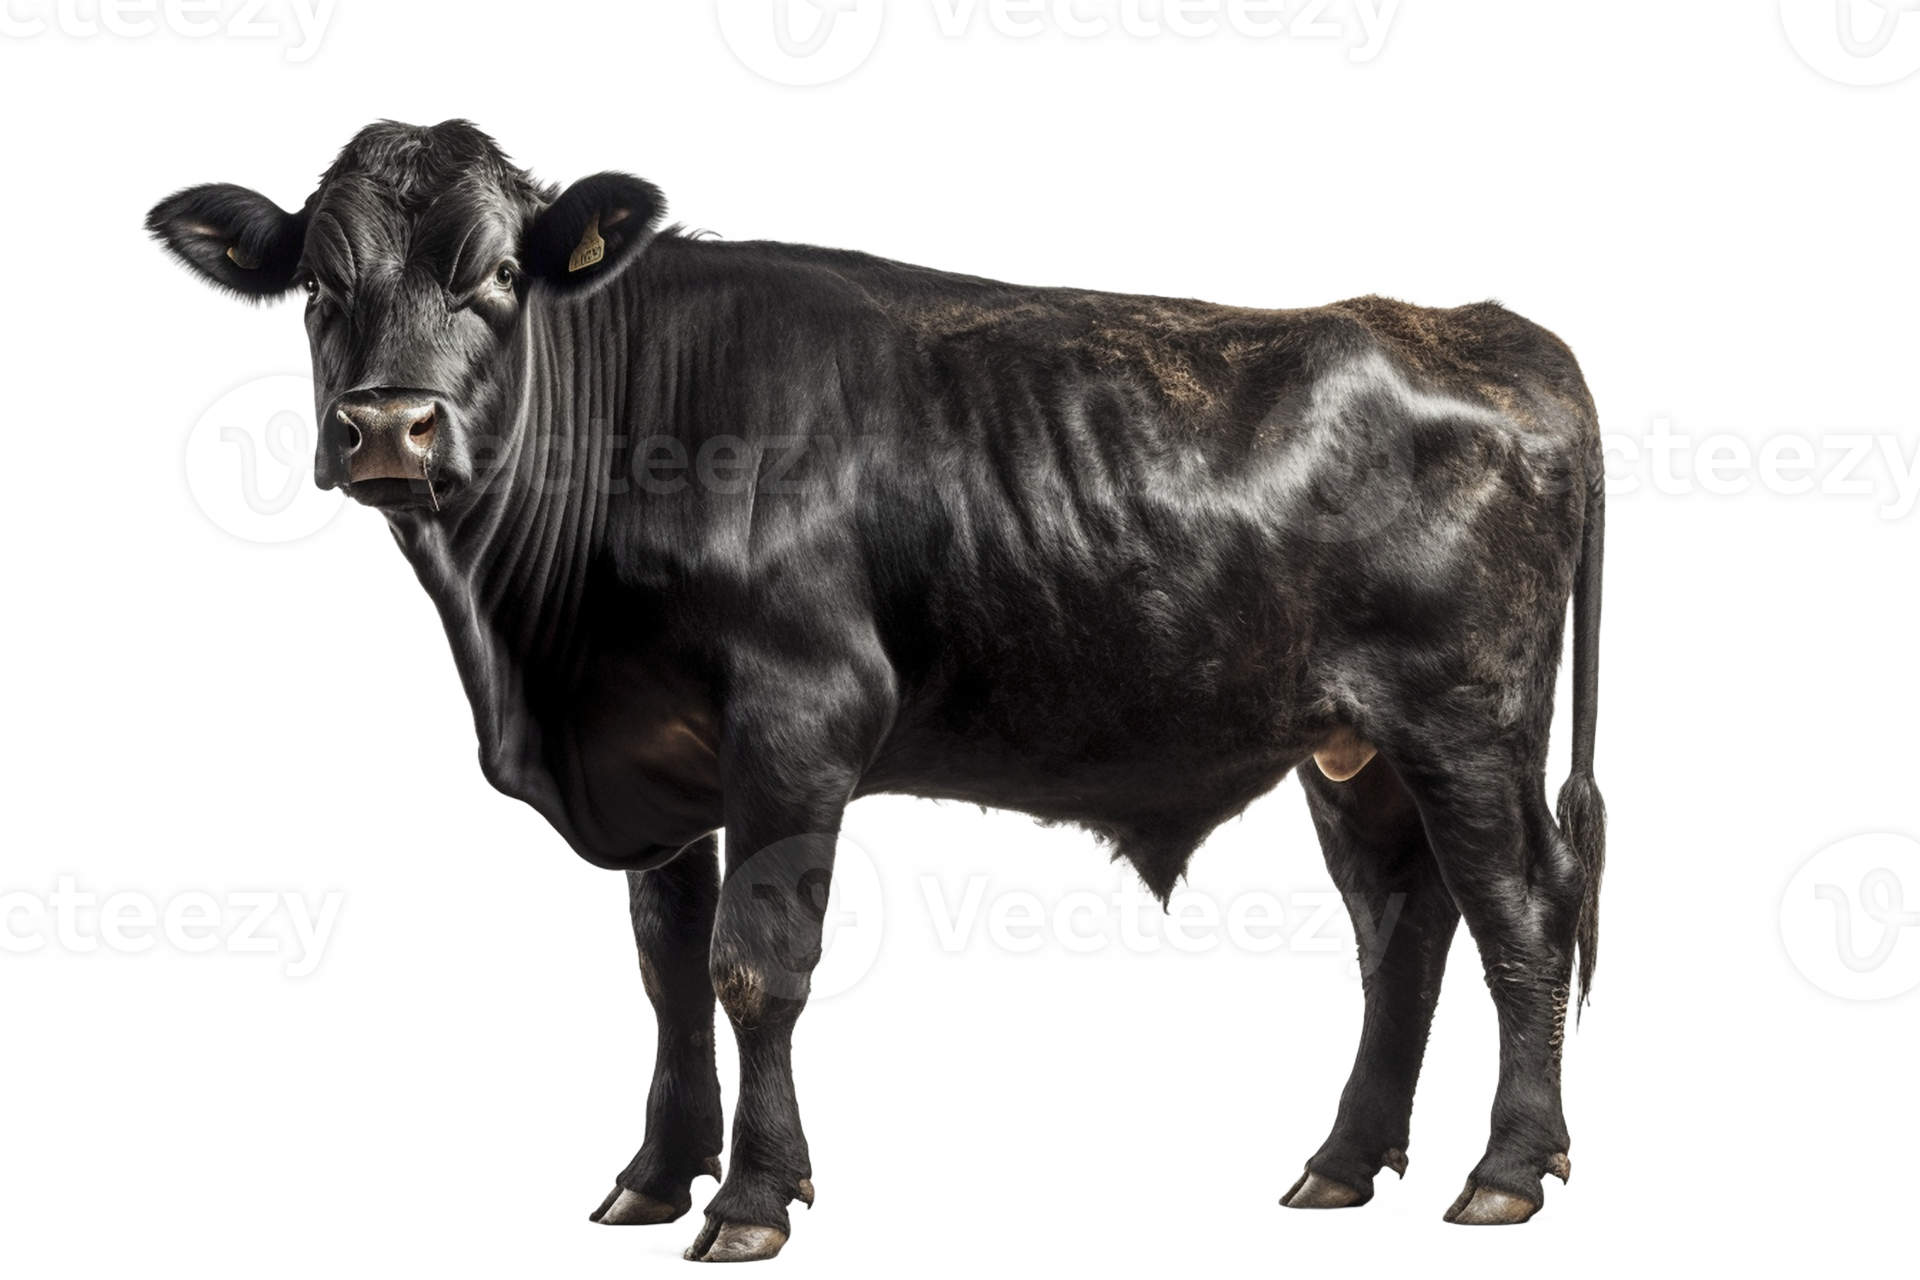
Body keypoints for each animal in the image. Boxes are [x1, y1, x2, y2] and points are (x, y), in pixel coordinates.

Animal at [146, 119, 1607, 1261]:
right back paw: (1342, 1166)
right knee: (1403, 923)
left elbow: (754, 963)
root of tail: (1482, 331)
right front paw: (653, 1181)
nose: (388, 429)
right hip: (1351, 743)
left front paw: (748, 1200)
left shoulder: (802, 717)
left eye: (501, 273)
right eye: (316, 285)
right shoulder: (661, 754)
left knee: (1520, 908)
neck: (534, 660)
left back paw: (1505, 1174)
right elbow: (669, 971)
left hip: (1466, 716)